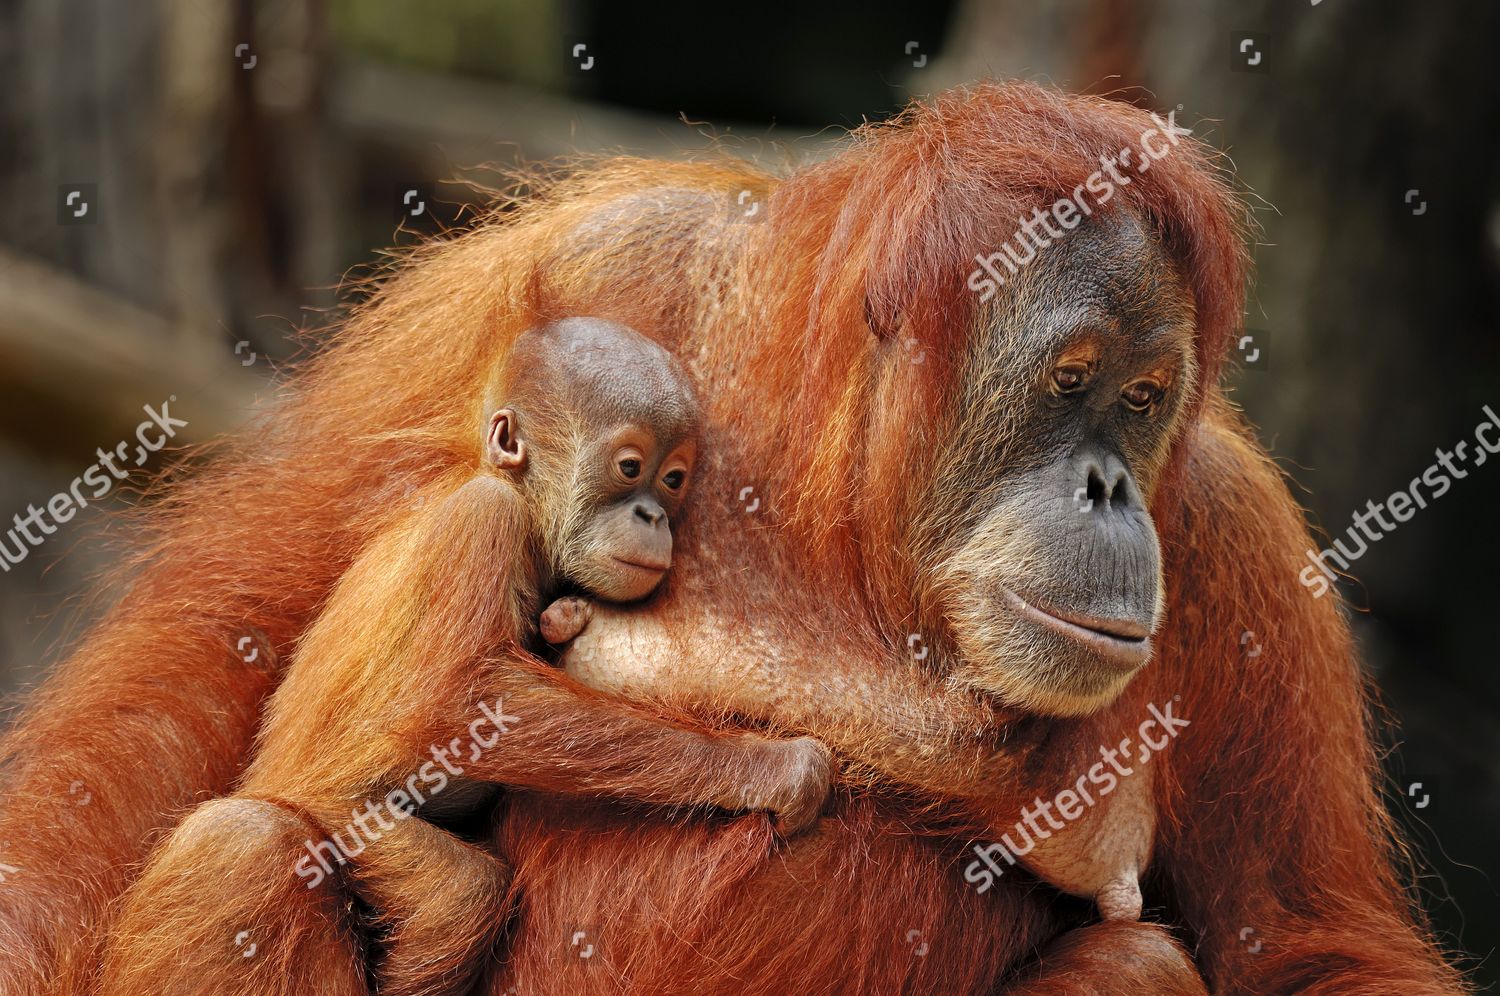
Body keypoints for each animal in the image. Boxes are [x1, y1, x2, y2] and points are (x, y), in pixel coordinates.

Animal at [102, 317, 833, 996]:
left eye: (674, 479)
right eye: (630, 468)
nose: (653, 515)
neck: (528, 518)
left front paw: (564, 619)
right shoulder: (485, 519)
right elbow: (461, 700)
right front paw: (770, 768)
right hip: (345, 819)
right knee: (285, 850)